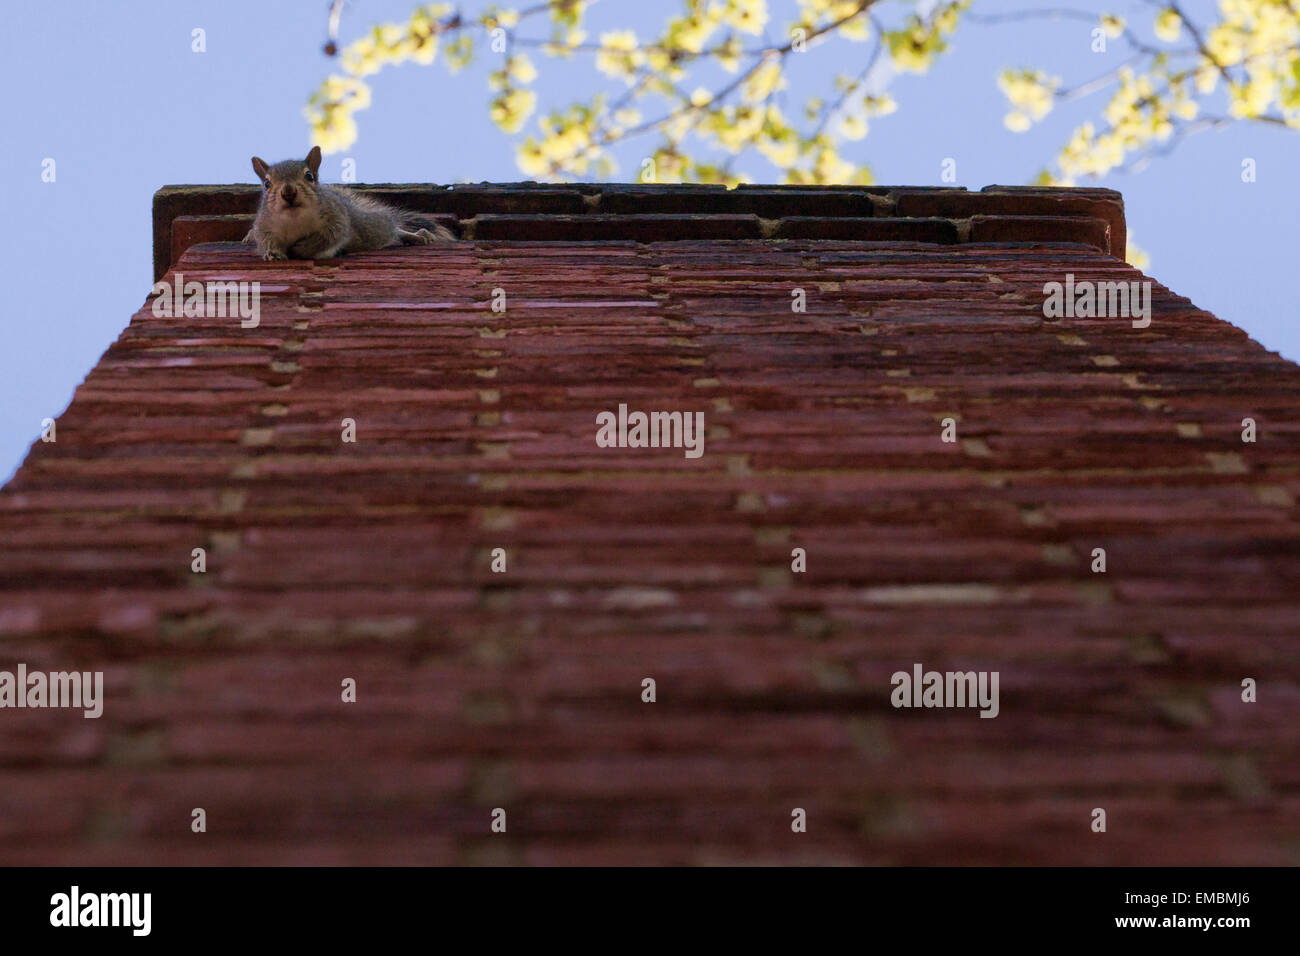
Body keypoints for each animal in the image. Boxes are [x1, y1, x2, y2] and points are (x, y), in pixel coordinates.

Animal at [246, 146, 453, 260]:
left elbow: (330, 236)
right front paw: (272, 253)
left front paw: (305, 247)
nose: (288, 192)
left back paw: (417, 236)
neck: (295, 218)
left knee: (392, 230)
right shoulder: (264, 225)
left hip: (371, 229)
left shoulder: (337, 217)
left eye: (309, 176)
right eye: (266, 183)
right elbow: (265, 240)